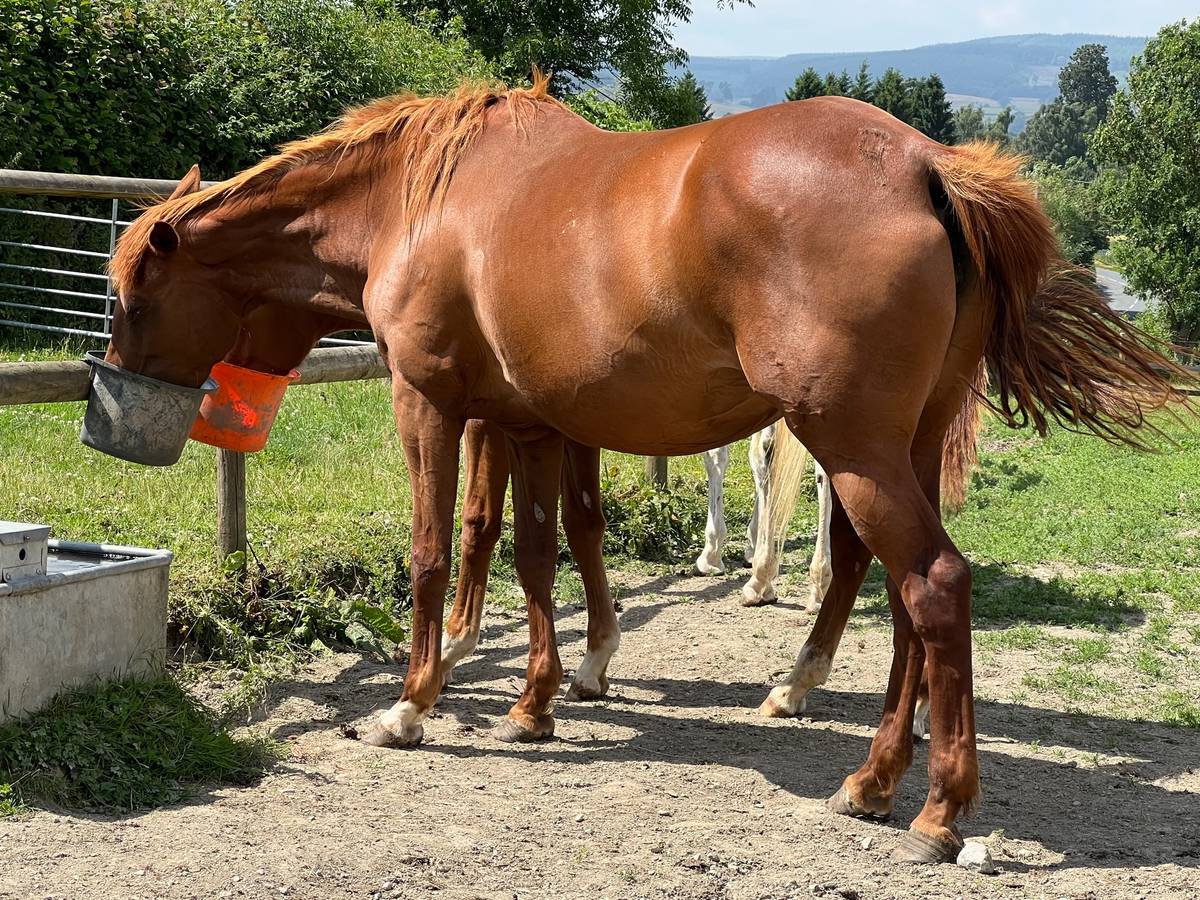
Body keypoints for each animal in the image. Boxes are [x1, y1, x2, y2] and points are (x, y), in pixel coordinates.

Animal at [101, 76, 1189, 862]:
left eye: (129, 299)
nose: (112, 398)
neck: (421, 196)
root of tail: (924, 165)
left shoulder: (433, 406)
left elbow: (432, 552)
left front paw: (411, 705)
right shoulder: (529, 423)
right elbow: (536, 553)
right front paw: (536, 701)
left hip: (855, 449)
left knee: (931, 584)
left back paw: (934, 809)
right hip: (905, 446)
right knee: (897, 596)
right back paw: (873, 779)